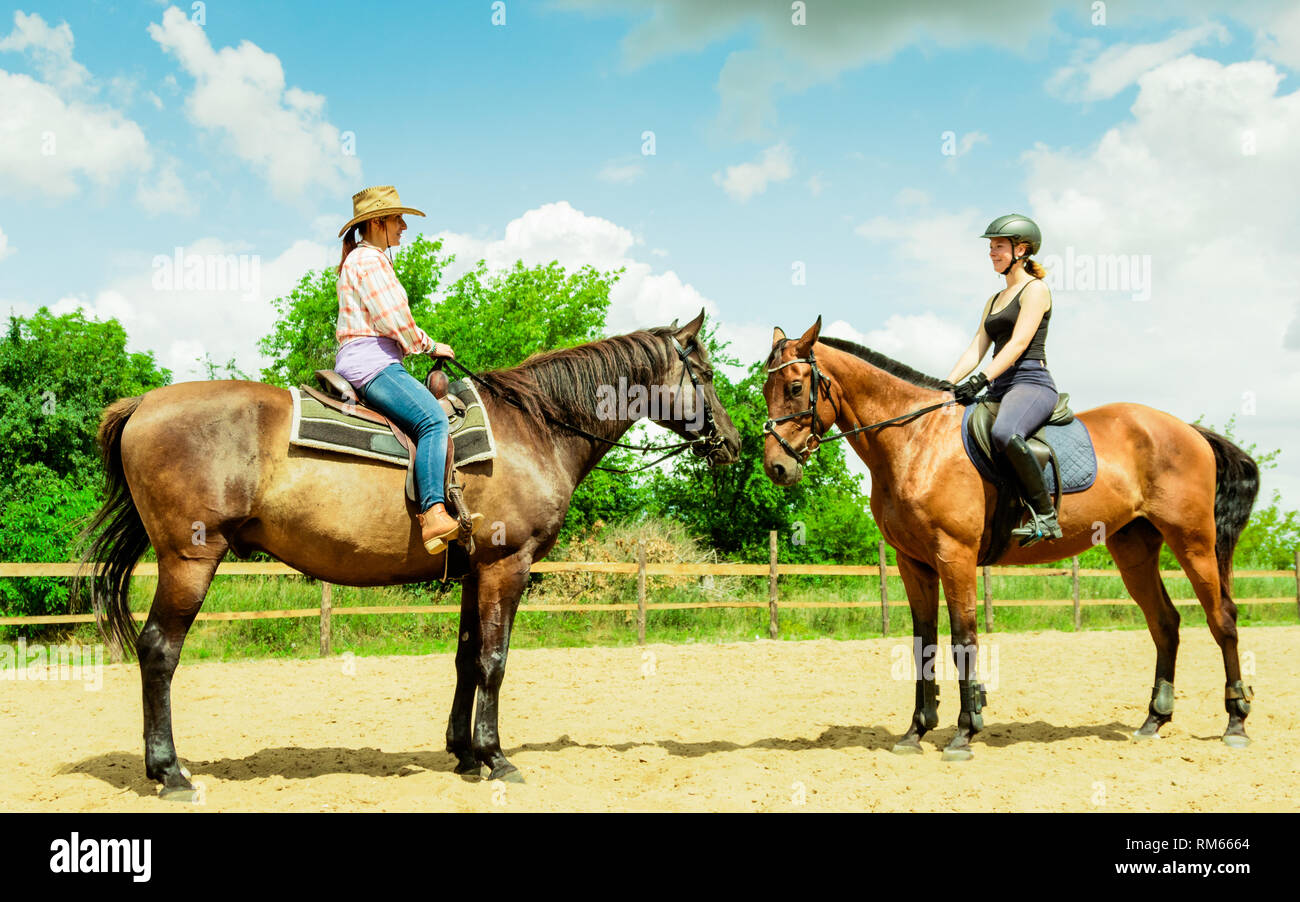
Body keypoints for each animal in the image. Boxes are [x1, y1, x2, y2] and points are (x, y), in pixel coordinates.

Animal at [75, 311, 740, 796]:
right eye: (704, 375)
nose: (732, 443)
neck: (535, 429)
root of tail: (144, 405)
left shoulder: (475, 570)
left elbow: (468, 658)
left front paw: (464, 753)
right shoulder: (508, 566)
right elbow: (495, 660)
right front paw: (497, 758)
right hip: (190, 561)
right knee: (159, 652)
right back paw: (170, 772)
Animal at [760, 317, 1259, 760]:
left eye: (795, 387)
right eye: (767, 391)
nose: (777, 468)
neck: (916, 440)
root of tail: (1189, 430)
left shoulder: (954, 555)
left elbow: (963, 637)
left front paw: (966, 731)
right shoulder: (912, 562)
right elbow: (925, 642)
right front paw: (916, 732)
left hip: (1193, 541)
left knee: (1222, 619)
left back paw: (1236, 722)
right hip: (1134, 549)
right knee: (1165, 623)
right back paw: (1153, 720)